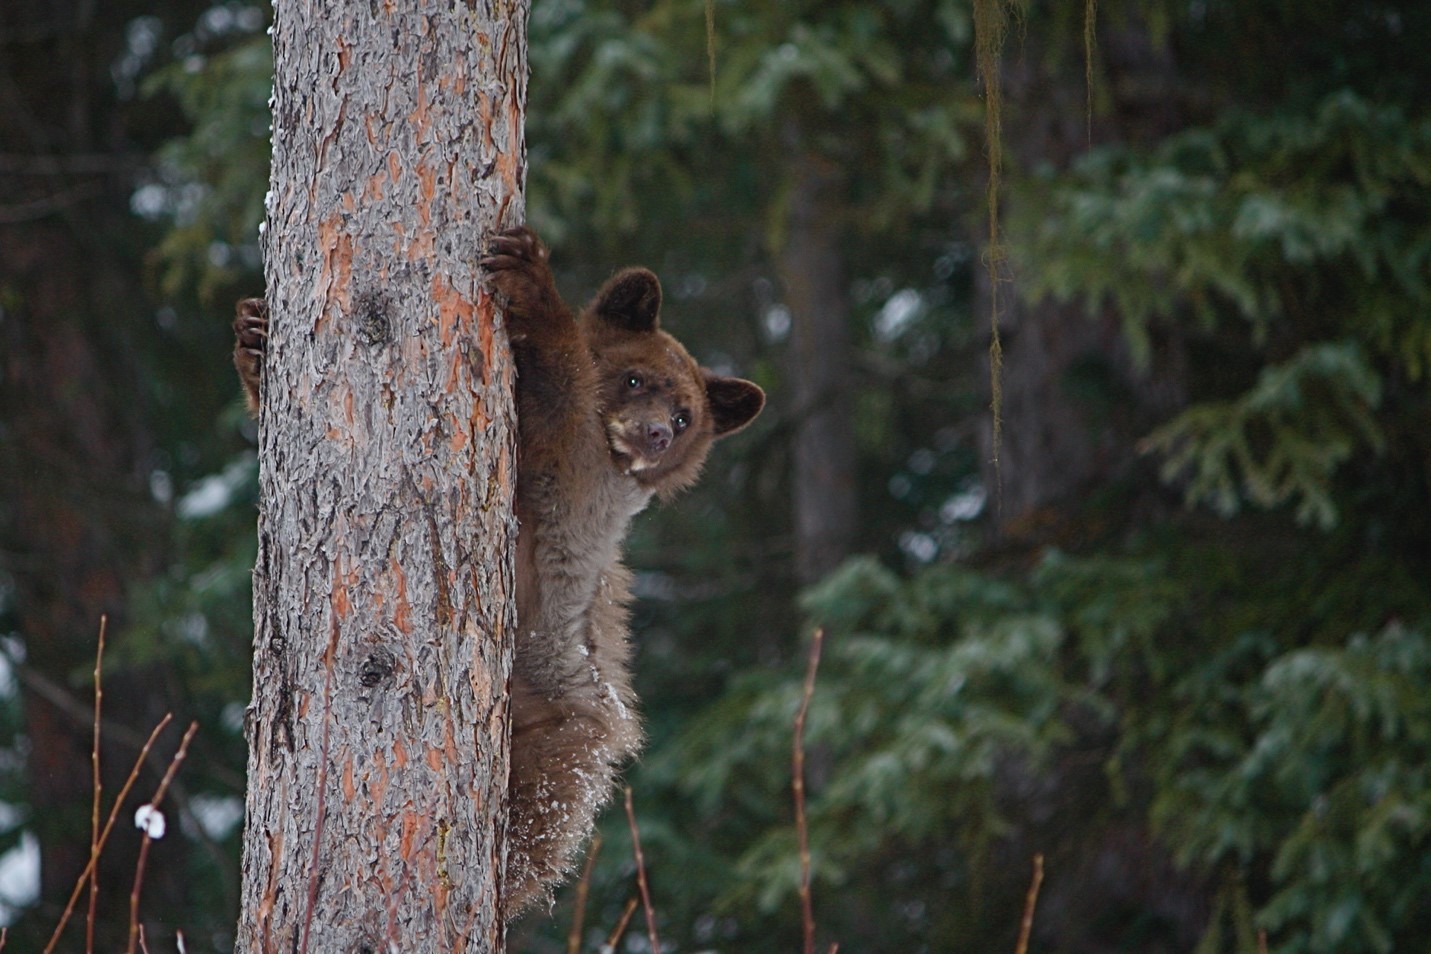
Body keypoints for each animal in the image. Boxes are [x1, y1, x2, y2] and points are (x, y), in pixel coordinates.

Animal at [232, 225, 764, 918]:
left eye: (685, 417)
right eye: (637, 377)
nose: (655, 436)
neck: (611, 455)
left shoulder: (581, 480)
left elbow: (562, 390)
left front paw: (532, 282)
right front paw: (253, 337)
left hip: (560, 740)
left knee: (535, 826)